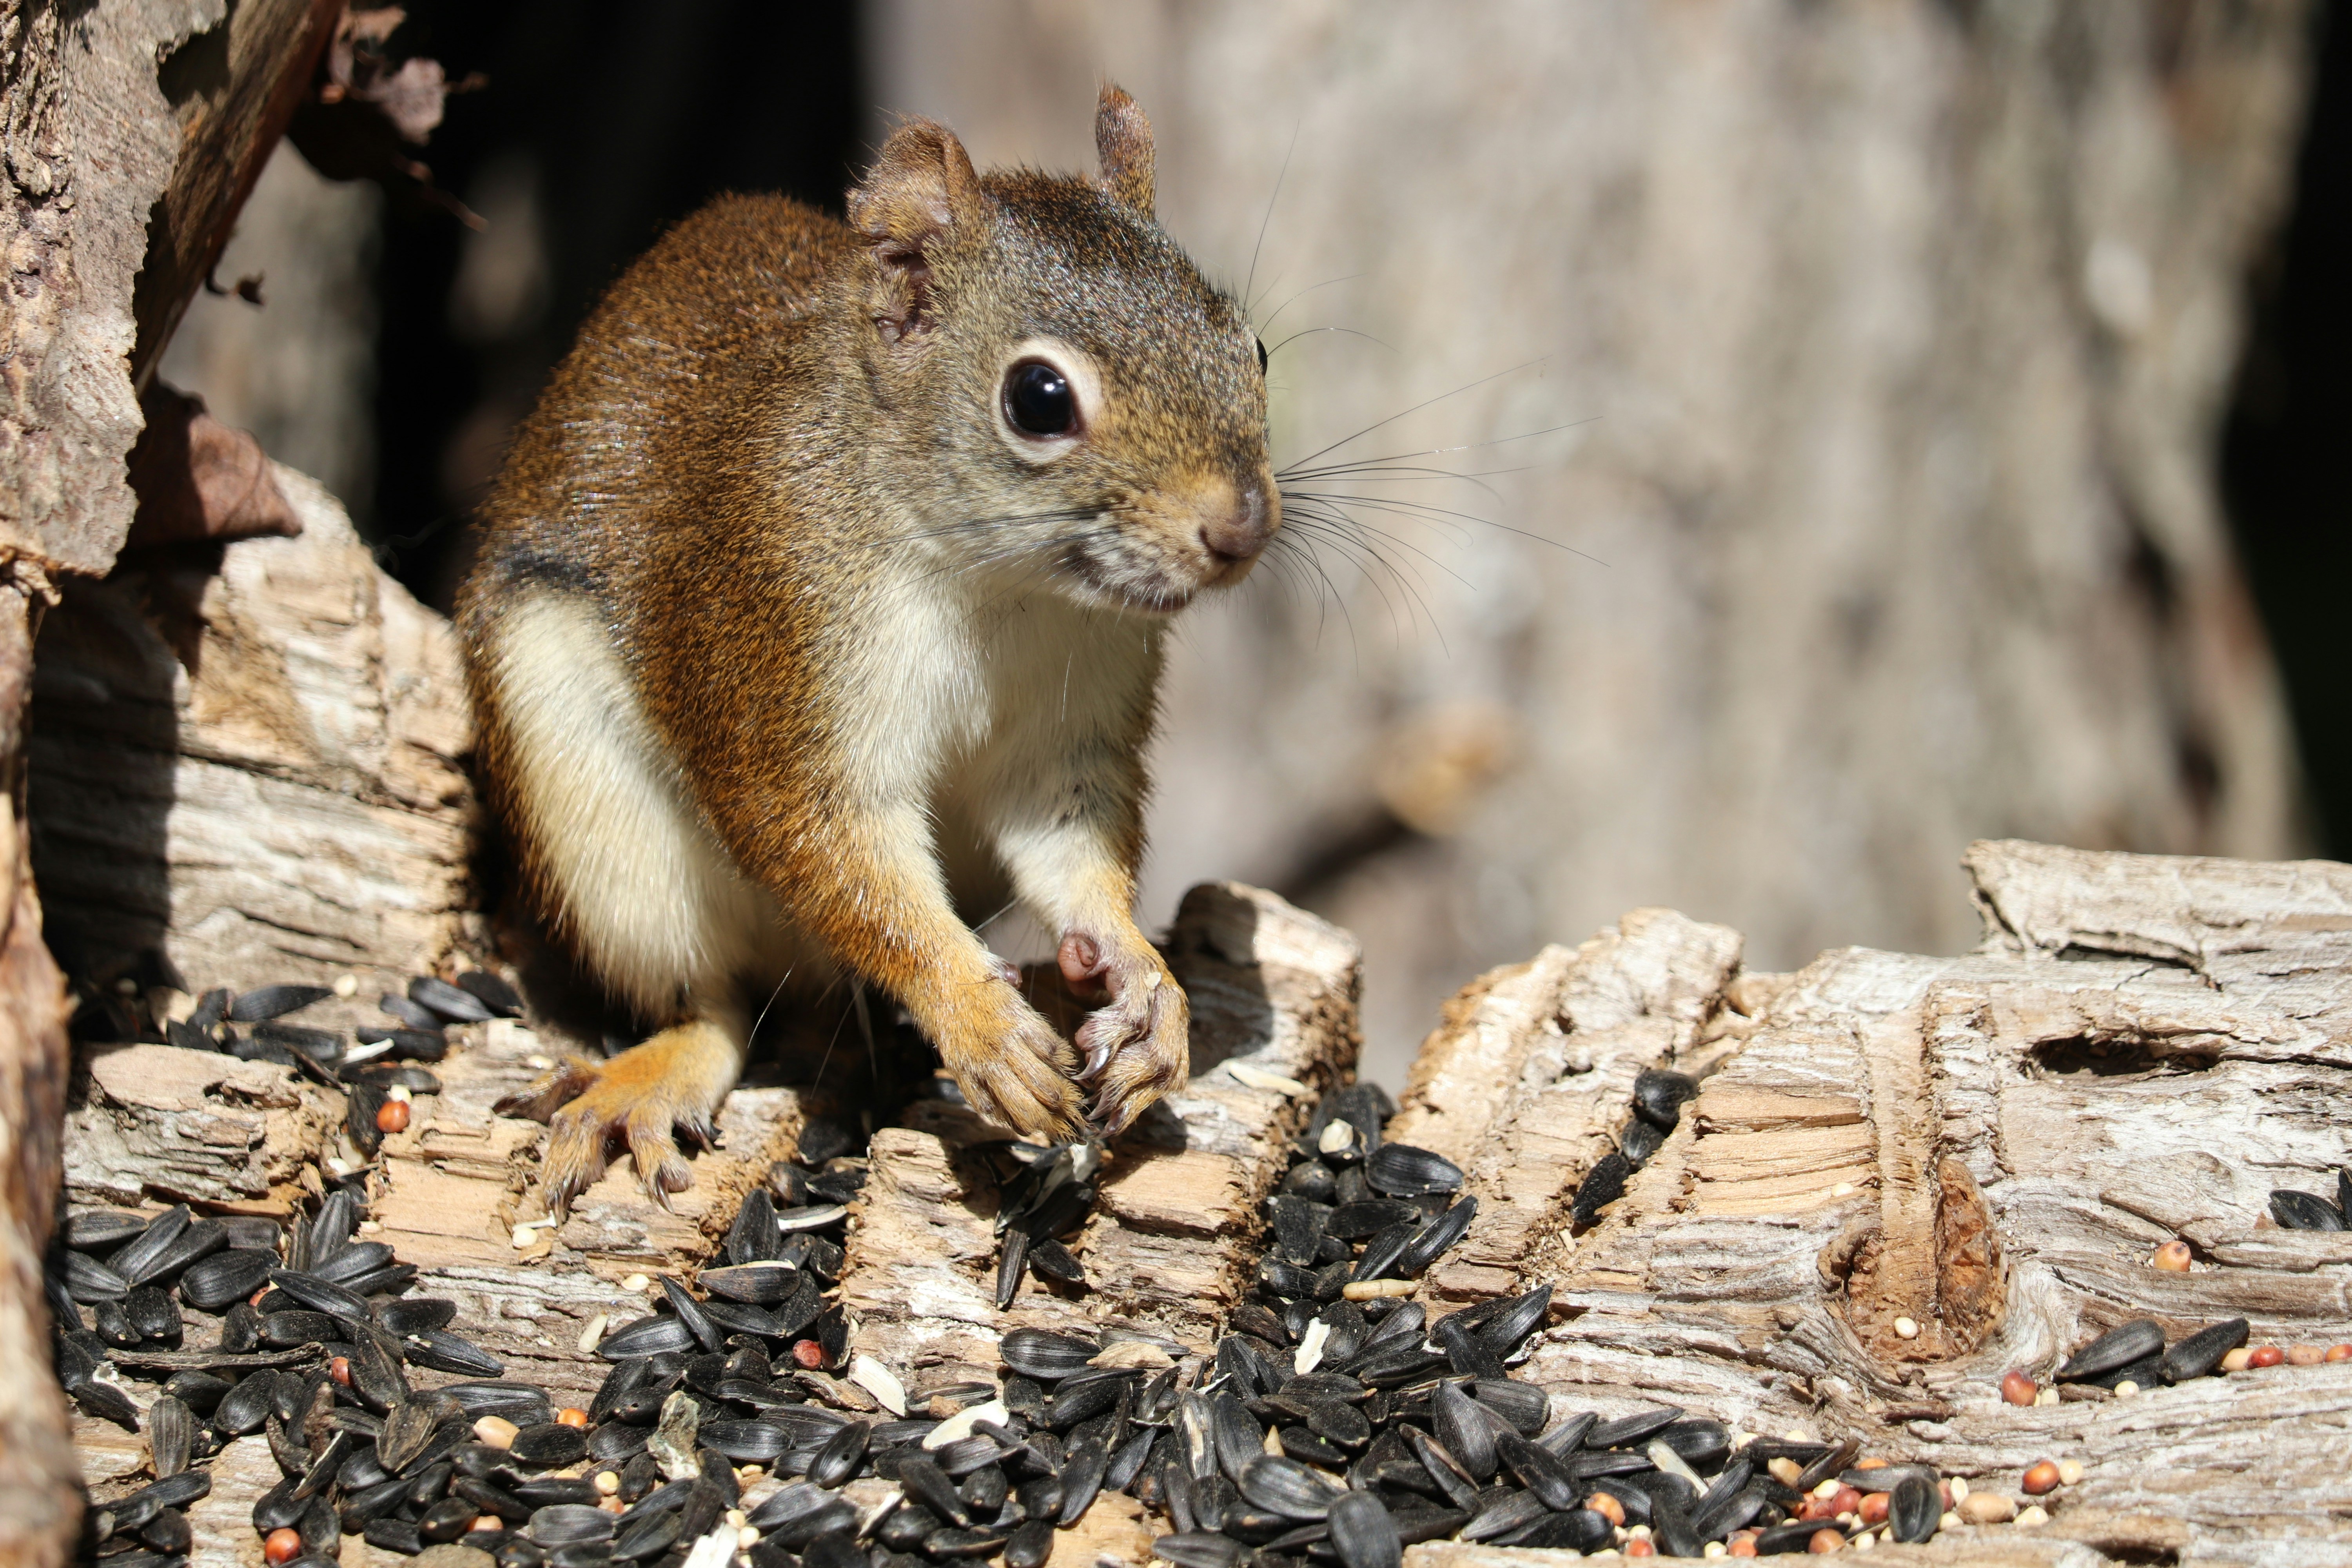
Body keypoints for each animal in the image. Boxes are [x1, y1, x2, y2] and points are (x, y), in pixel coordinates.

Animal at [455, 87, 1278, 1209]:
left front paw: (1148, 987)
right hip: (592, 818)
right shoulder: (775, 653)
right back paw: (653, 1077)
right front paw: (978, 1019)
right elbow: (833, 852)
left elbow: (1073, 849)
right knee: (713, 1003)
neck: (1006, 592)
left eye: (1254, 350)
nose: (1241, 528)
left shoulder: (1065, 738)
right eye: (1039, 399)